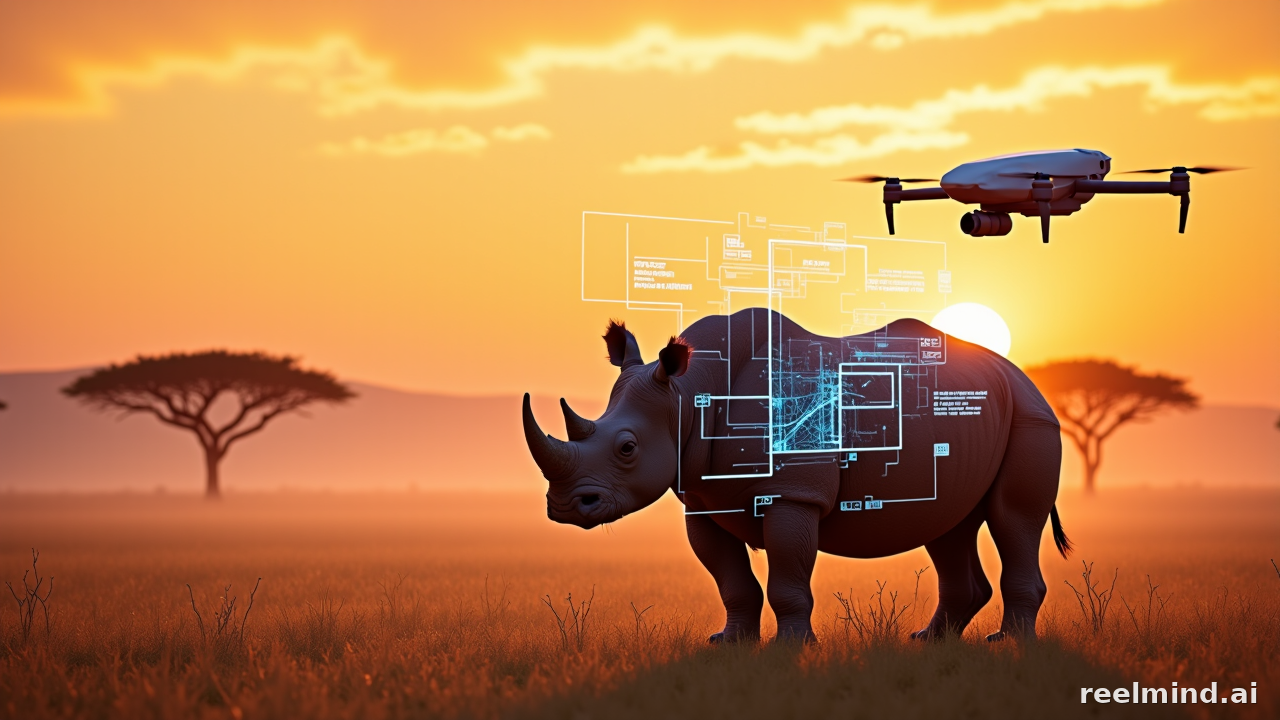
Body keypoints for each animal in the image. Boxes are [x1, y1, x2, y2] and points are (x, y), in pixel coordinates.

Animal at [523, 308, 1068, 642]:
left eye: (628, 448)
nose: (566, 507)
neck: (689, 393)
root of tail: (1019, 374)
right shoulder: (702, 498)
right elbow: (729, 577)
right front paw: (728, 644)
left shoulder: (794, 492)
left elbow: (787, 572)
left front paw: (791, 649)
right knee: (946, 526)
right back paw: (928, 641)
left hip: (1031, 417)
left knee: (1013, 519)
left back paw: (1007, 643)